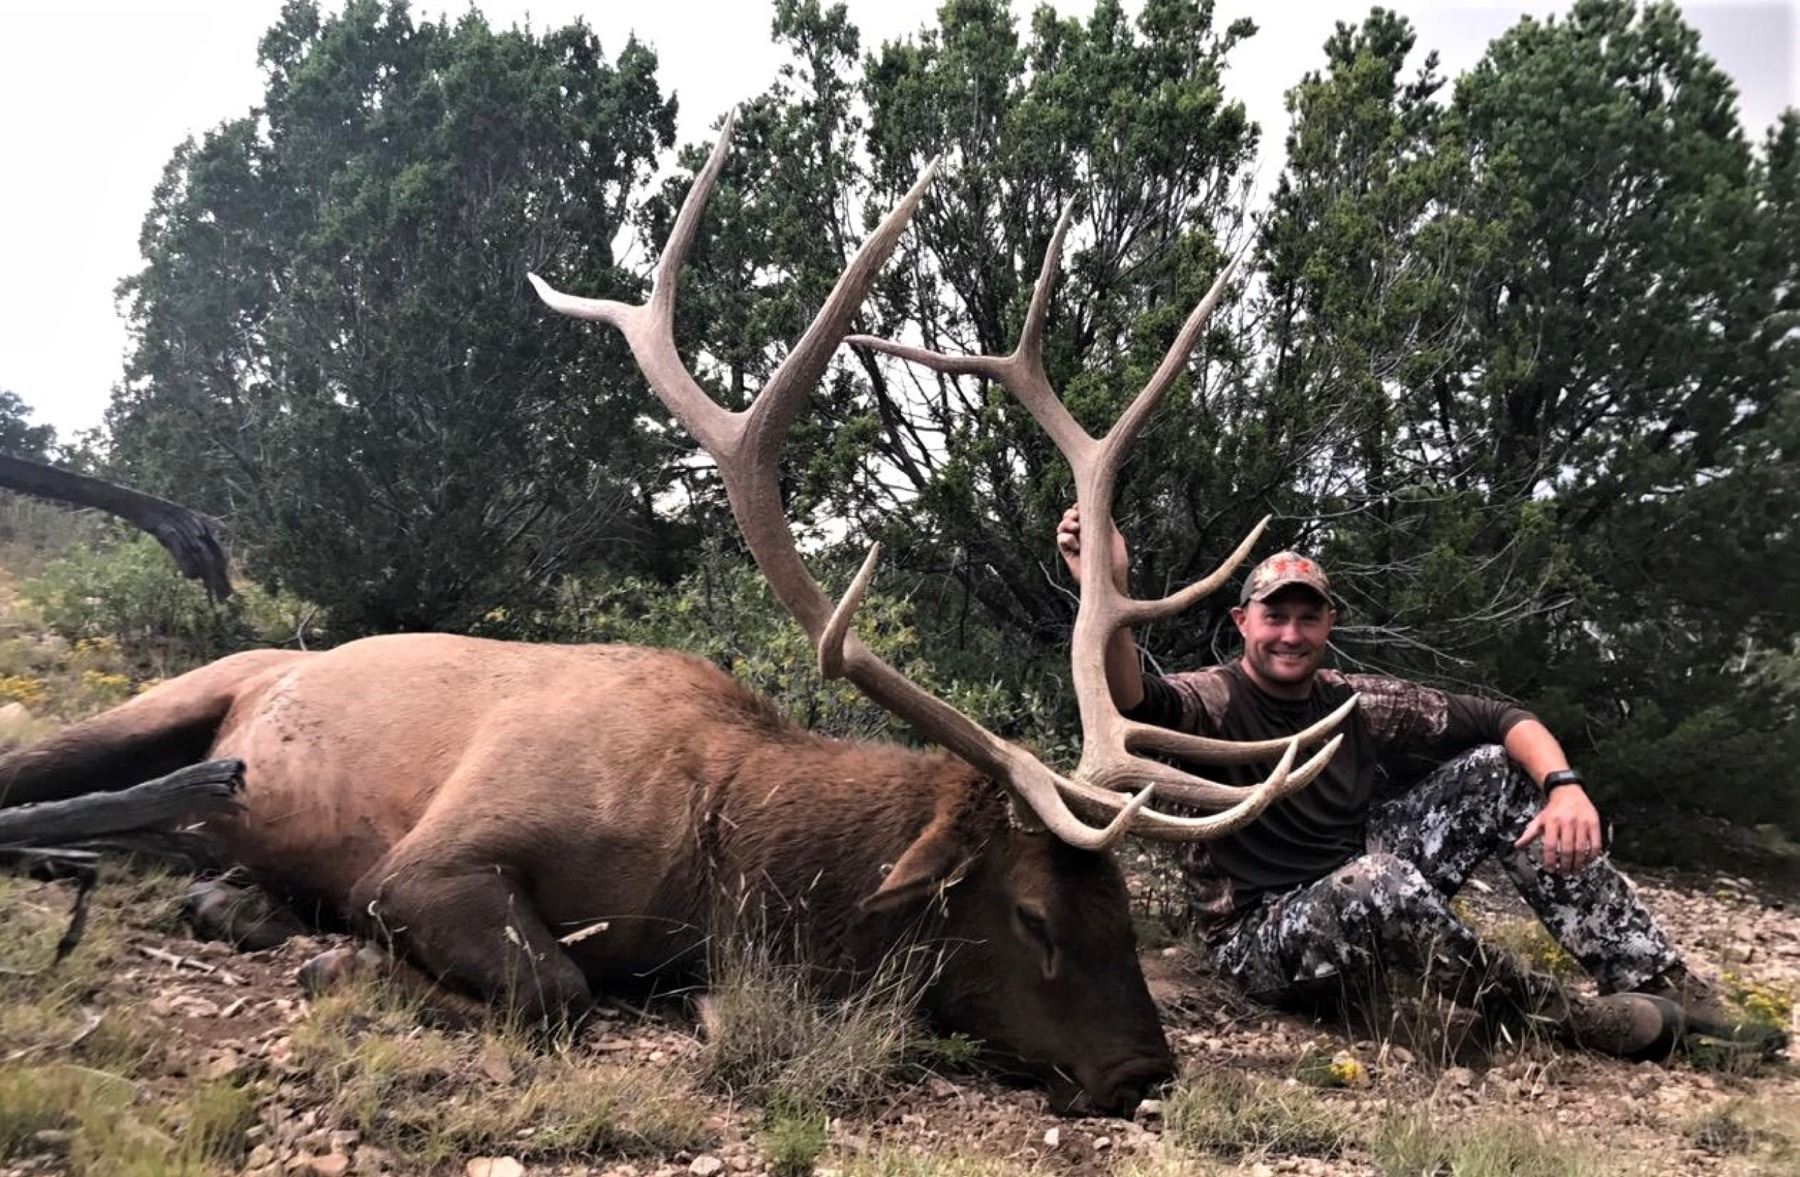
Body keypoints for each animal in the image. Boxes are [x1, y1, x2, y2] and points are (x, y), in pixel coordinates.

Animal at [0, 113, 1353, 1116]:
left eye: (1123, 904)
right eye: (1031, 914)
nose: (1145, 1071)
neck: (719, 858)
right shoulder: (435, 852)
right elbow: (553, 985)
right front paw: (338, 950)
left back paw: (215, 884)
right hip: (171, 695)